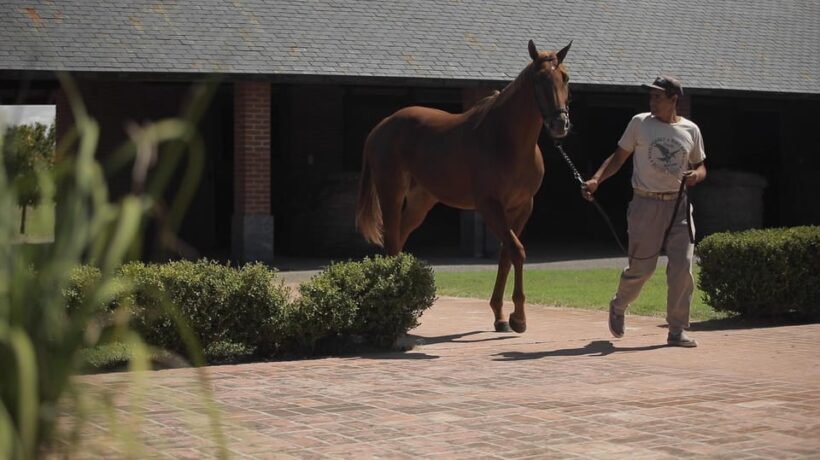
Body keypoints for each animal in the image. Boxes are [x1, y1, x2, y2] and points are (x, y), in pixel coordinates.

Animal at [356, 40, 572, 333]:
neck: (506, 140)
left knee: (399, 238)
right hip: (392, 193)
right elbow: (517, 251)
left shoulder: (522, 207)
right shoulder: (489, 206)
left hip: (421, 201)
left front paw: (500, 316)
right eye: (539, 79)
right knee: (390, 240)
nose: (560, 124)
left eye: (565, 78)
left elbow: (506, 255)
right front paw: (519, 318)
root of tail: (380, 129)